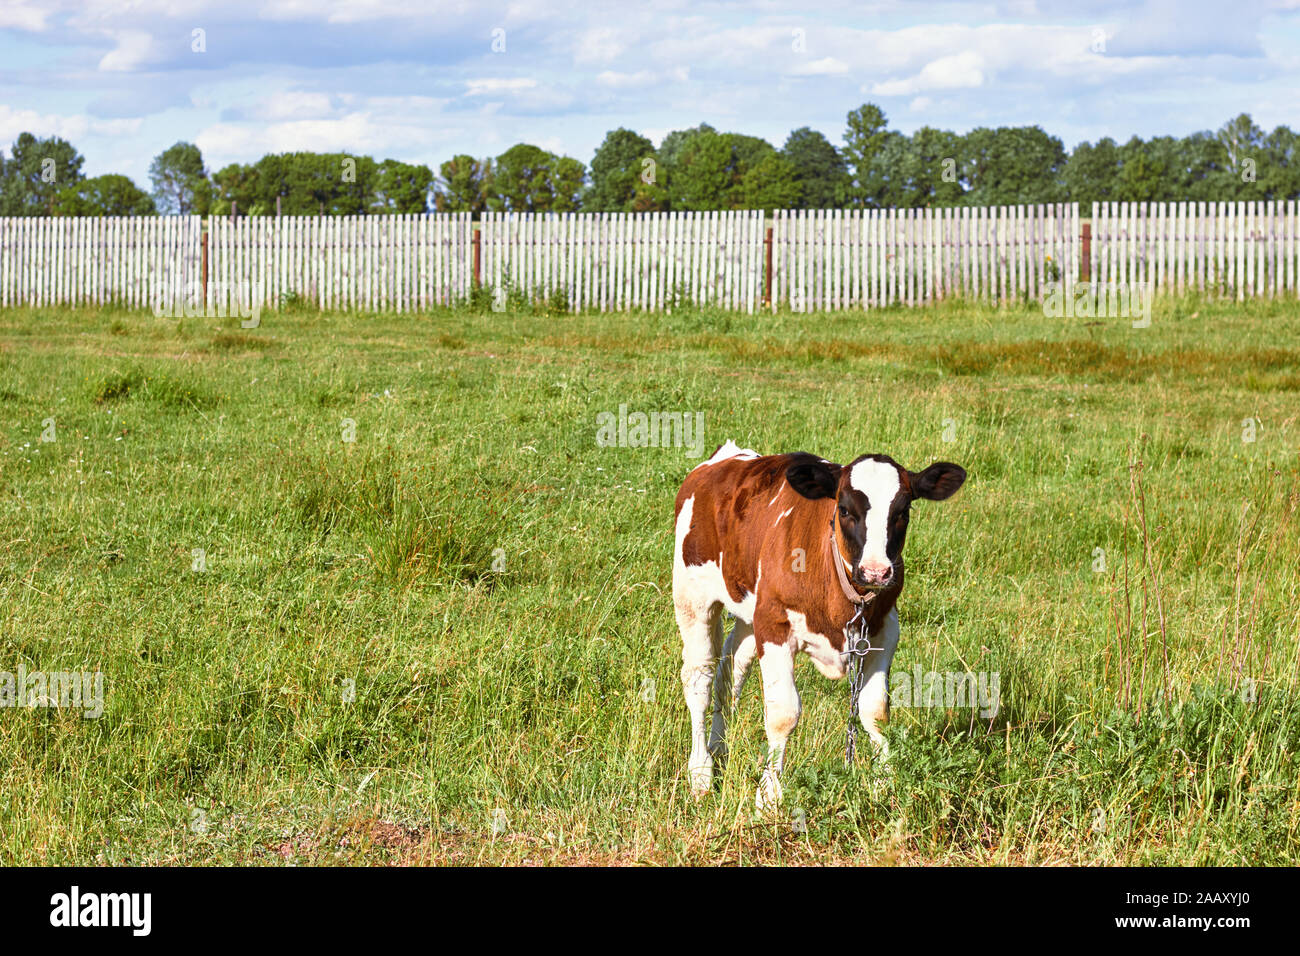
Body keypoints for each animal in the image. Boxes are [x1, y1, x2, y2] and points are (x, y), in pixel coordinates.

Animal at [673, 440, 966, 808]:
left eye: (903, 512)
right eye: (844, 509)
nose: (876, 572)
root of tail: (725, 457)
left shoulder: (884, 631)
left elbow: (876, 711)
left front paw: (884, 785)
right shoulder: (775, 625)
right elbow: (783, 713)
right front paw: (769, 796)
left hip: (750, 610)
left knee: (731, 672)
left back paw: (719, 750)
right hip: (692, 597)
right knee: (700, 680)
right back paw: (701, 772)